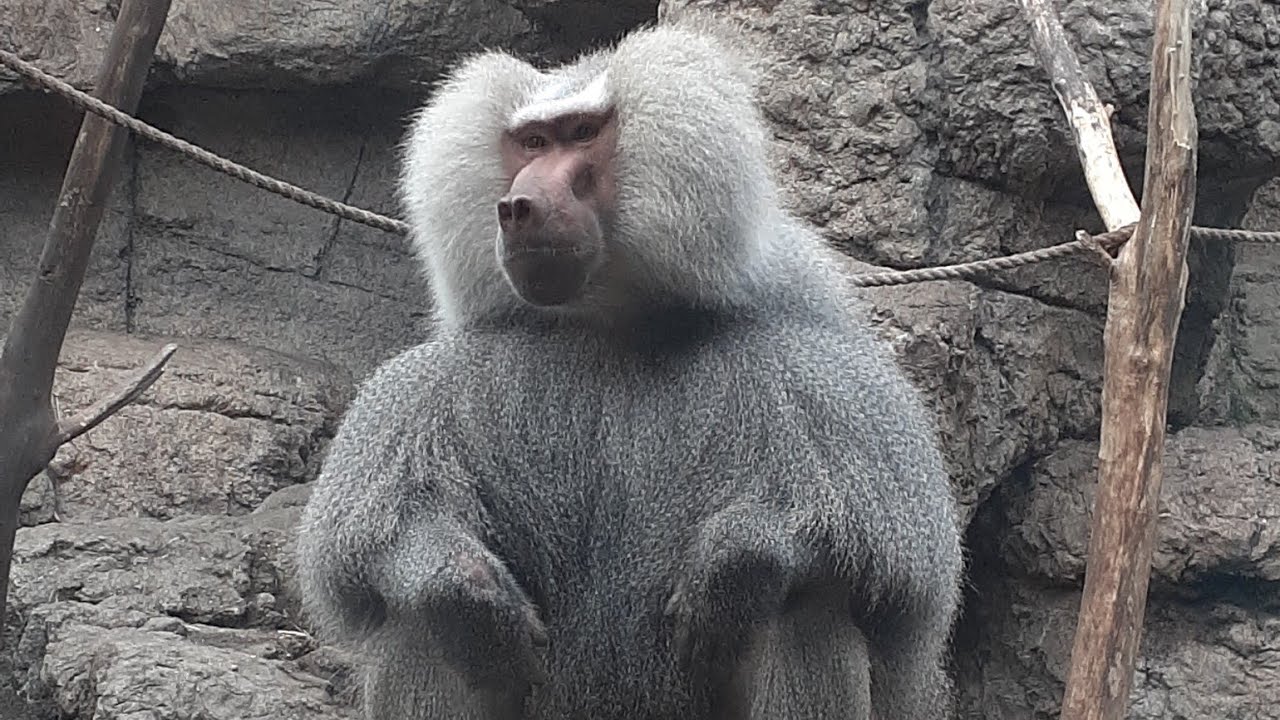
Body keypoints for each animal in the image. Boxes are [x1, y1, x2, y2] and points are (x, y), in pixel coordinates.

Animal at [295, 14, 964, 720]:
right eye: (532, 142)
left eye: (583, 134)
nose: (517, 206)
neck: (613, 322)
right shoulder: (445, 378)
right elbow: (362, 547)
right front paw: (462, 587)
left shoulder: (819, 362)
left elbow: (899, 561)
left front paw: (735, 563)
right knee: (425, 624)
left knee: (805, 606)